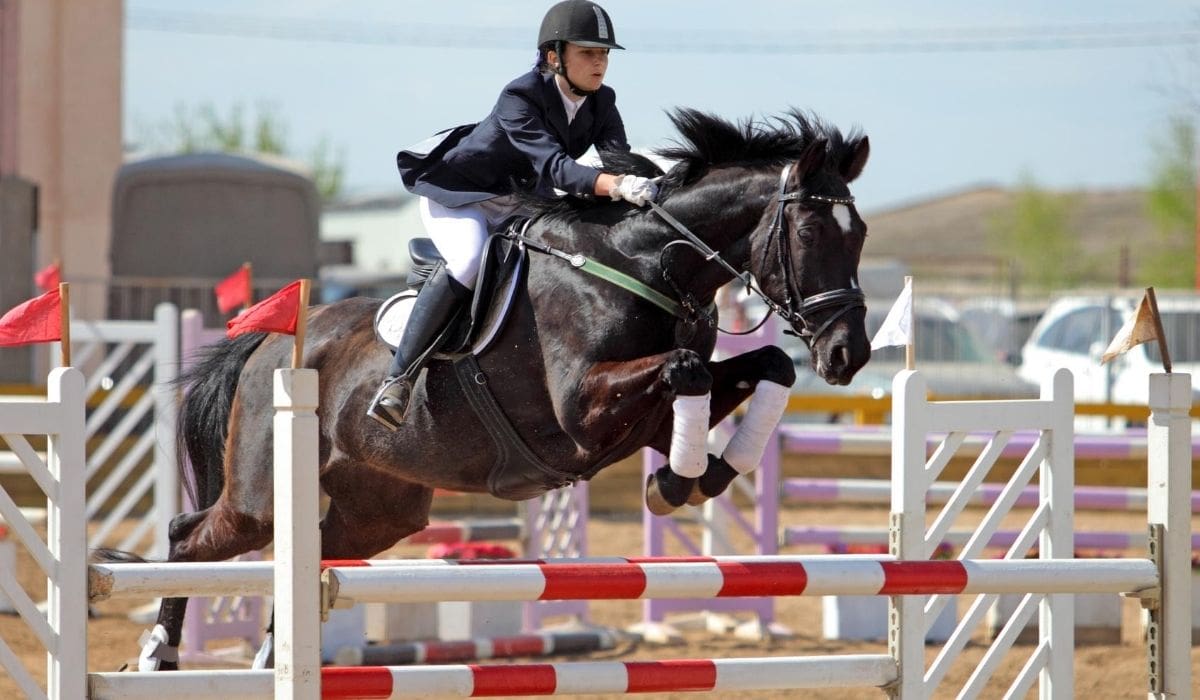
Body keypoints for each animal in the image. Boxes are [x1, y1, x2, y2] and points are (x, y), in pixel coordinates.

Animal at [131, 108, 872, 669]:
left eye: (859, 232)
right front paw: (677, 483)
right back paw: (158, 656)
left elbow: (766, 367)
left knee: (312, 550)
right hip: (260, 497)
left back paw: (269, 659)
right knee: (190, 538)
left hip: (379, 511)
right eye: (810, 231)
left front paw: (703, 474)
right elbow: (686, 370)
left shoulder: (646, 418)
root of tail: (269, 343)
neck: (647, 265)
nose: (848, 355)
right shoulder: (582, 412)